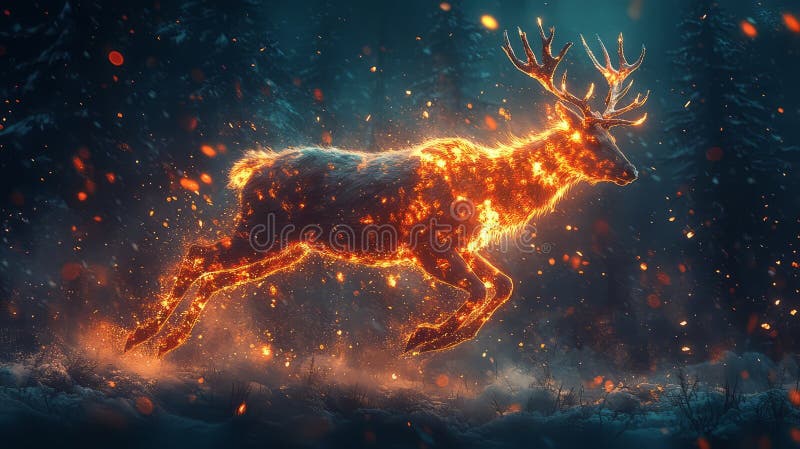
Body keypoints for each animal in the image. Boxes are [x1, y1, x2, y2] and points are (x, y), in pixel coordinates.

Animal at [124, 19, 648, 357]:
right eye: (591, 138)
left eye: (614, 136)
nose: (631, 172)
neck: (491, 191)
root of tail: (250, 169)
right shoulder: (428, 245)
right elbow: (483, 289)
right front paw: (426, 336)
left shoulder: (463, 245)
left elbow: (502, 285)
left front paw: (433, 337)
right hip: (259, 230)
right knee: (198, 254)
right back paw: (140, 336)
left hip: (288, 247)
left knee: (214, 274)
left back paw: (165, 341)